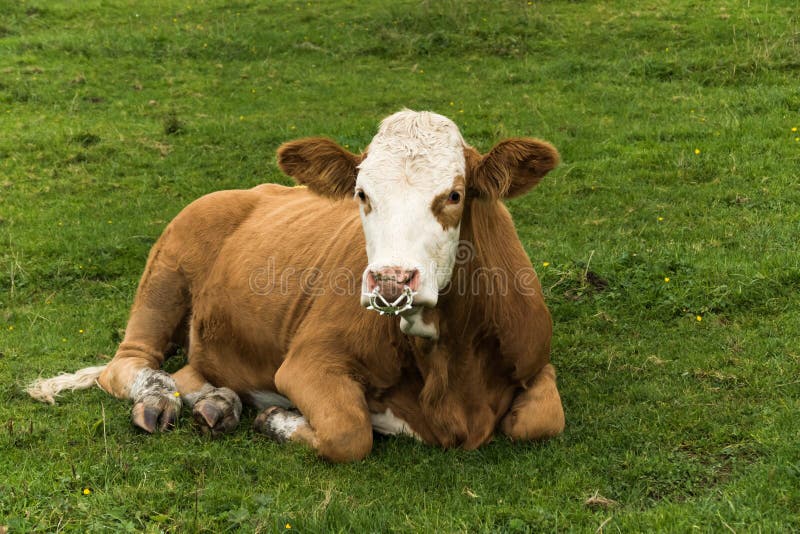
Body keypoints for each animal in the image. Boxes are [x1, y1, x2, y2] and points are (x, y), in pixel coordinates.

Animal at [28, 110, 565, 462]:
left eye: (453, 195)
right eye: (361, 194)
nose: (391, 280)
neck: (448, 368)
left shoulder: (536, 357)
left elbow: (541, 420)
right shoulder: (308, 362)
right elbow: (350, 431)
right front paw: (284, 420)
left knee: (190, 374)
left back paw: (216, 403)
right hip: (166, 272)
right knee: (127, 365)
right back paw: (162, 401)